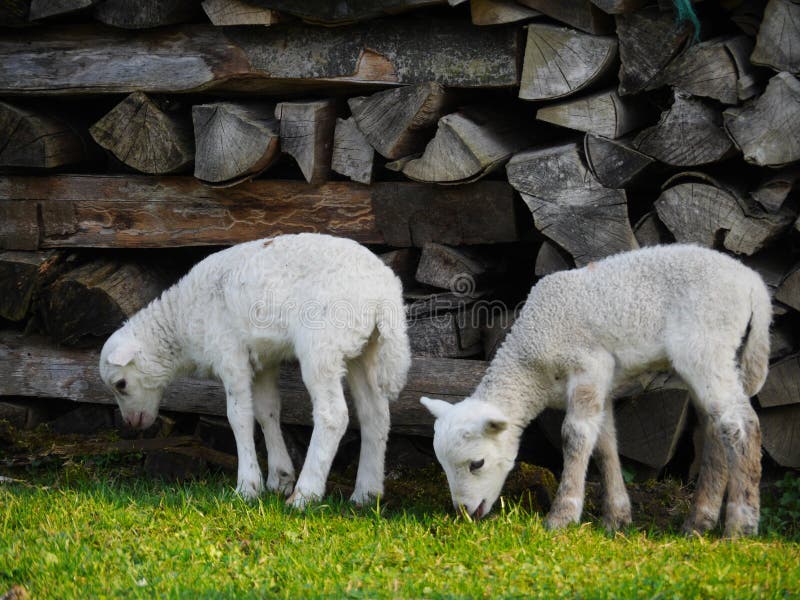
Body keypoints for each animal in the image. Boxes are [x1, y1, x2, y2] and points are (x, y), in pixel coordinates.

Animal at [99, 233, 411, 507]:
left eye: (121, 384)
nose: (130, 423)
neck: (182, 322)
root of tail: (385, 293)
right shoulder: (263, 359)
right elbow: (266, 411)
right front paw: (279, 477)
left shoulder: (230, 354)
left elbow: (239, 416)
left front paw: (248, 487)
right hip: (365, 348)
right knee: (375, 415)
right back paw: (366, 494)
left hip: (323, 344)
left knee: (333, 415)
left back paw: (305, 496)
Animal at [421, 244, 771, 537]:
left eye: (477, 463)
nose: (465, 513)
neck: (531, 365)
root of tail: (754, 285)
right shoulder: (602, 385)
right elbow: (604, 444)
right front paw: (616, 518)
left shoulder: (589, 367)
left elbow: (575, 437)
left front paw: (562, 516)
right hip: (721, 356)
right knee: (716, 428)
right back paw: (699, 522)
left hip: (707, 345)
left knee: (740, 424)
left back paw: (740, 527)